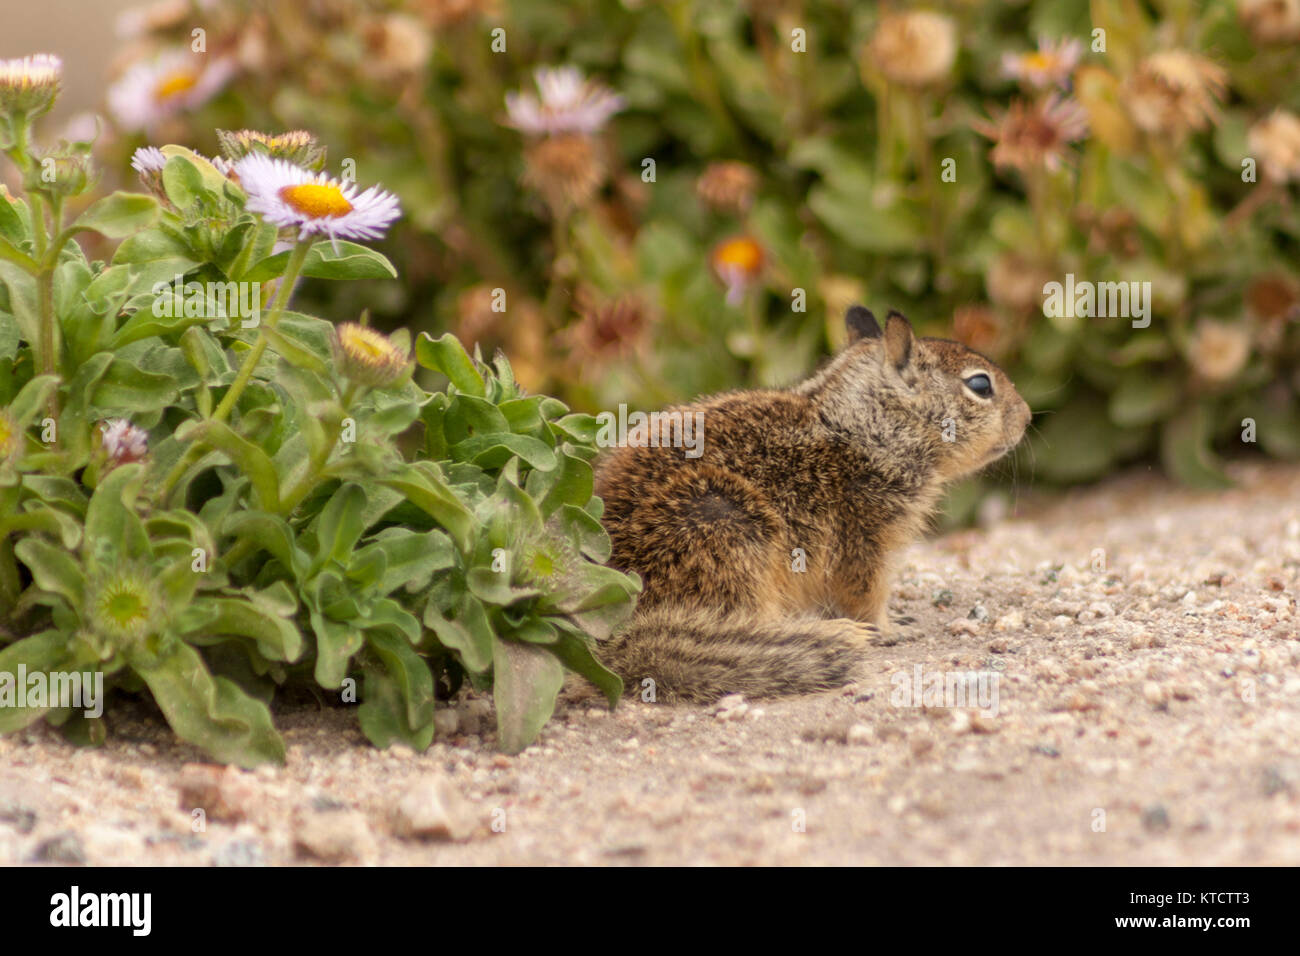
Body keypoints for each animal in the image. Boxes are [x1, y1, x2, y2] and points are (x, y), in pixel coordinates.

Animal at [591, 307, 1032, 703]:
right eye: (981, 385)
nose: (1027, 417)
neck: (873, 425)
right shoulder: (865, 536)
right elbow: (866, 595)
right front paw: (892, 628)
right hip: (724, 533)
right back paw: (838, 633)